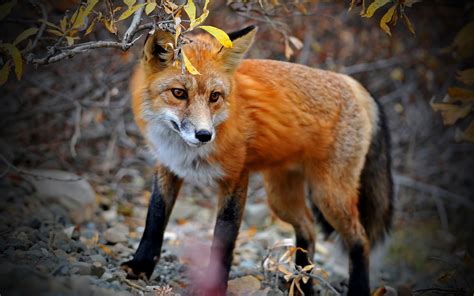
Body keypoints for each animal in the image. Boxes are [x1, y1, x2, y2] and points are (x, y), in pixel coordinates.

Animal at [121, 26, 392, 296]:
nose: (205, 135)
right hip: (281, 198)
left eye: (214, 96)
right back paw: (302, 284)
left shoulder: (236, 176)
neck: (183, 150)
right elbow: (154, 219)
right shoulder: (168, 167)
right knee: (309, 228)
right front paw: (140, 266)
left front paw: (215, 286)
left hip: (328, 195)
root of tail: (352, 83)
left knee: (360, 239)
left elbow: (224, 239)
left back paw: (355, 289)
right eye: (179, 93)